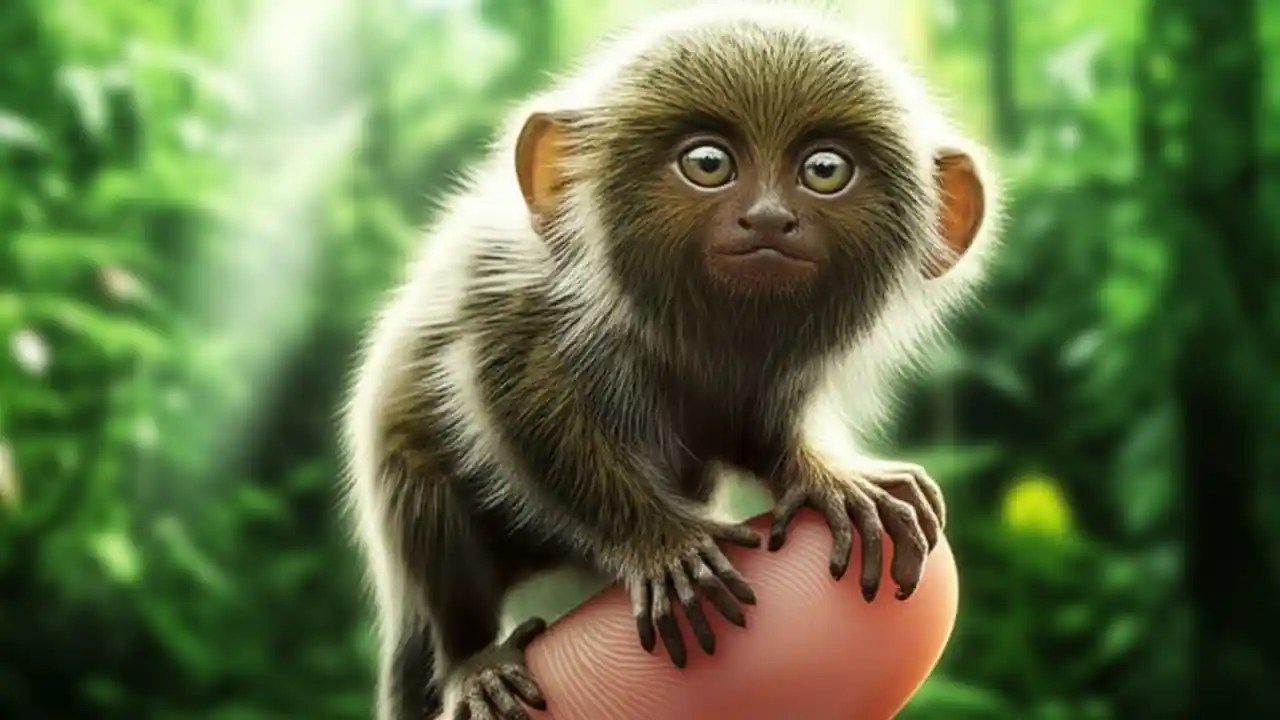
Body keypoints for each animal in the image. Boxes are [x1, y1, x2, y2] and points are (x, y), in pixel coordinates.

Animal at [341, 3, 1000, 719]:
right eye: (708, 163)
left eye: (825, 170)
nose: (768, 217)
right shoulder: (521, 298)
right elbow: (511, 402)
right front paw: (663, 544)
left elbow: (755, 429)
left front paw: (831, 479)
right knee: (427, 506)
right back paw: (472, 661)